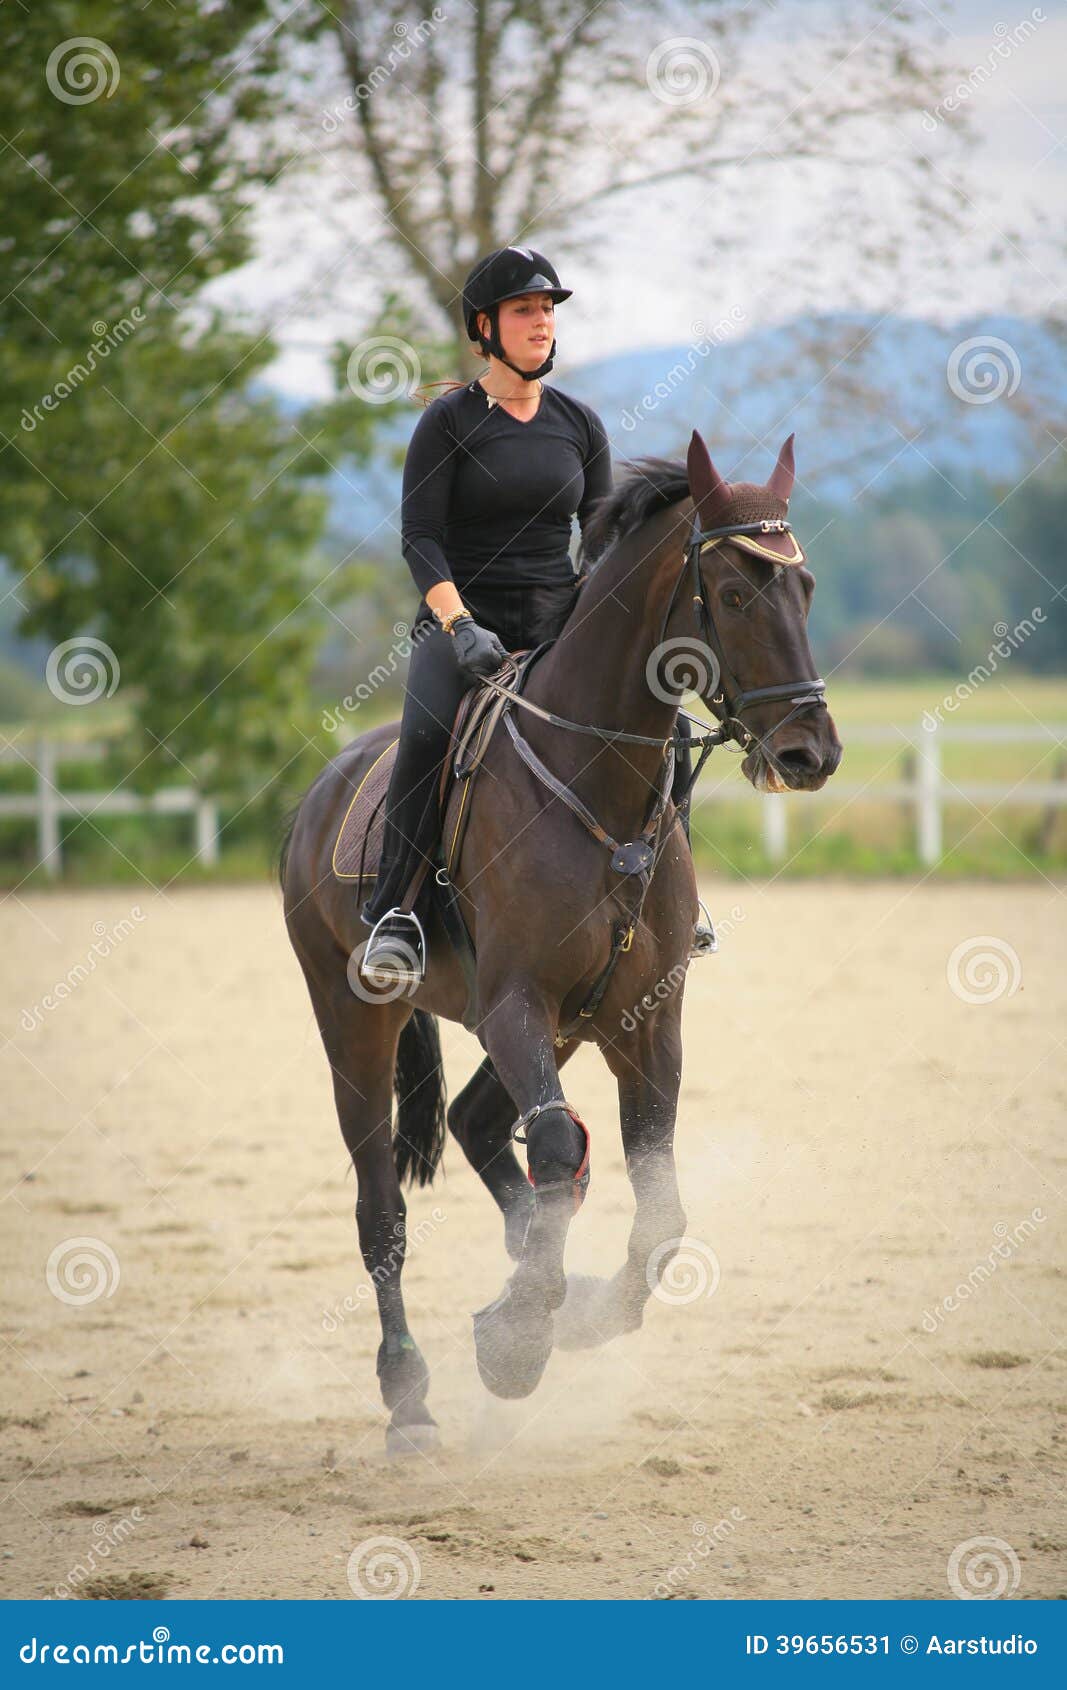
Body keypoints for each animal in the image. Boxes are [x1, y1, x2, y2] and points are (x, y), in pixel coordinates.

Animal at [280, 429, 842, 1455]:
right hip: (355, 1021)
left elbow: (656, 1213)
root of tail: (326, 787)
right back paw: (408, 1397)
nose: (808, 753)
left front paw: (562, 1312)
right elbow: (552, 1149)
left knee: (477, 1126)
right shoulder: (516, 1004)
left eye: (805, 585)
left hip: (562, 1029)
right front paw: (515, 1344)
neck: (597, 786)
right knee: (382, 1207)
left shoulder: (641, 1023)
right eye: (732, 591)